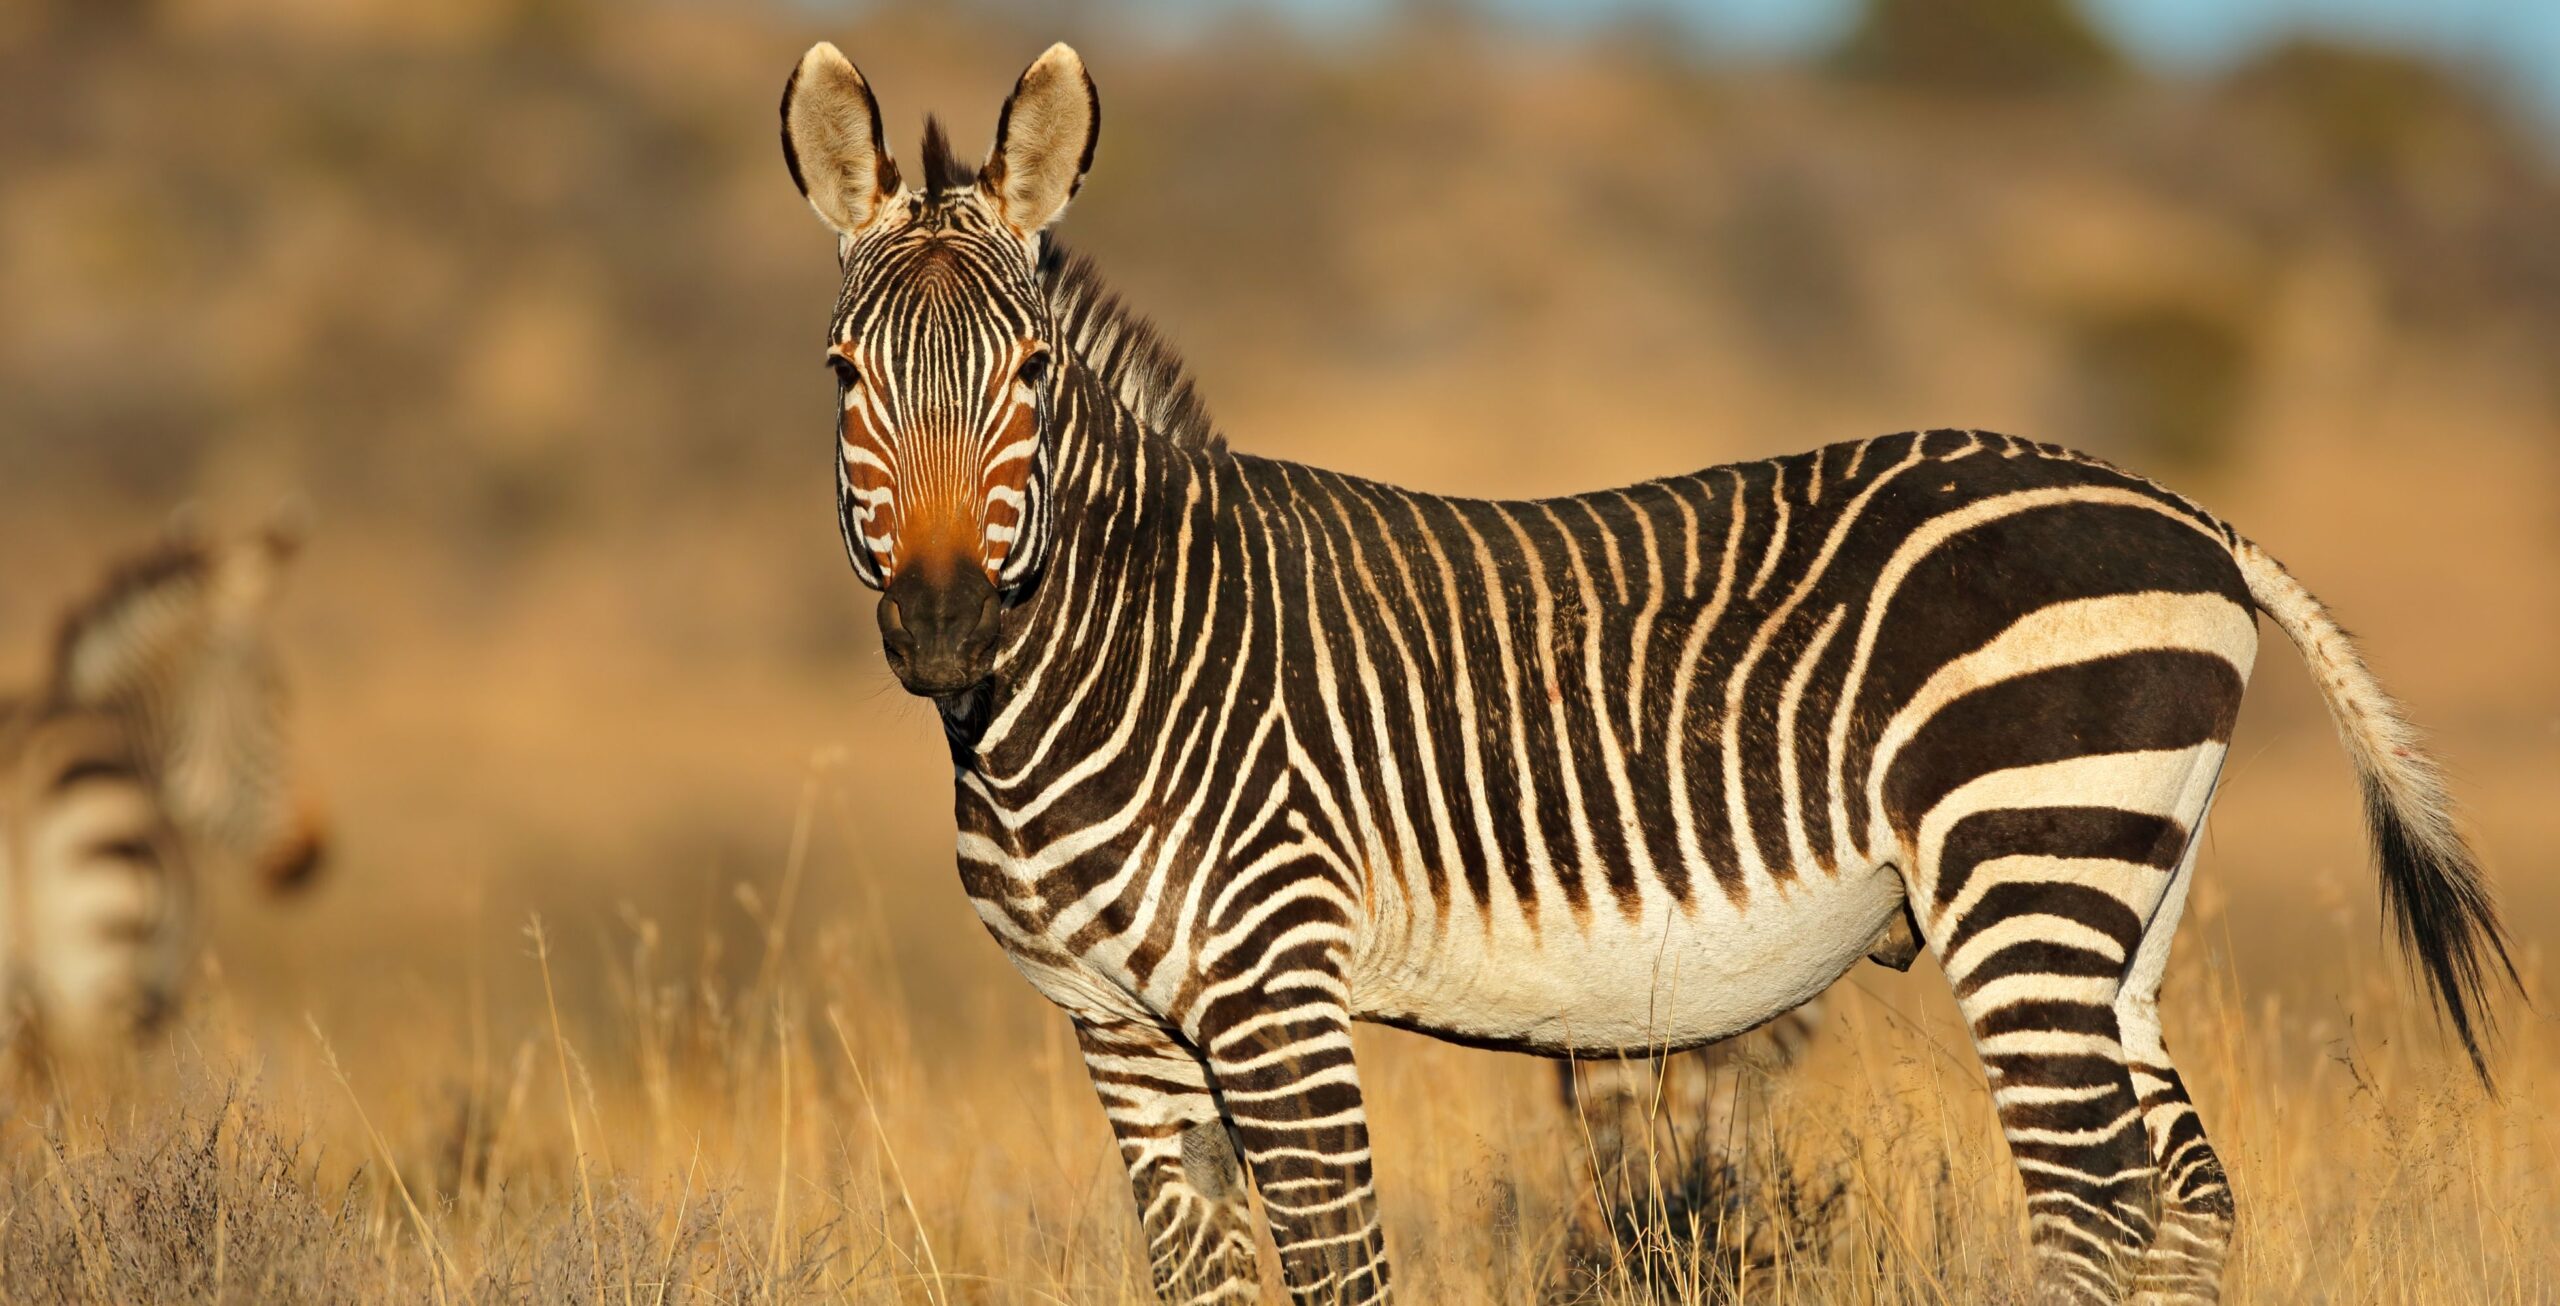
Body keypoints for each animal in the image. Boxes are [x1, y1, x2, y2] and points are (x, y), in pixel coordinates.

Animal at [778, 43, 2515, 1305]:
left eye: (1030, 373)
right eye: (844, 374)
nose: (944, 630)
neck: (1108, 660)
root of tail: (2188, 512)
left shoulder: (1278, 981)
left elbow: (1341, 1268)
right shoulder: (1118, 1028)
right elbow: (1201, 1280)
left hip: (2025, 865)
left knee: (2095, 1199)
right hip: (2120, 907)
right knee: (2188, 1196)